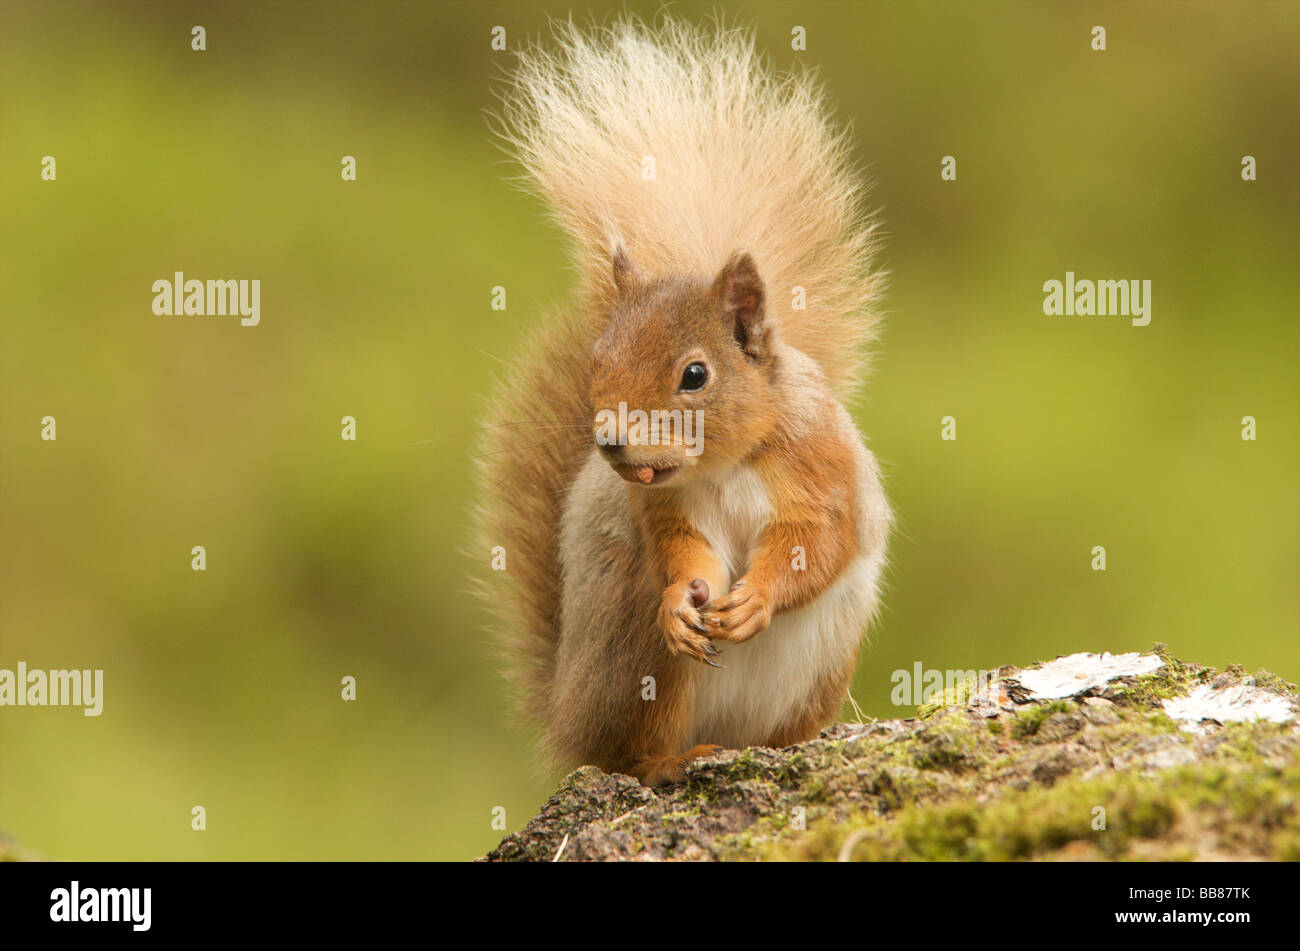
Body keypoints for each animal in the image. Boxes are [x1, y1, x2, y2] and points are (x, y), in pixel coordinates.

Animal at [474, 16, 890, 785]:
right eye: (598, 360)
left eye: (695, 375)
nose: (610, 441)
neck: (724, 464)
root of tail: (568, 720)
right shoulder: (667, 509)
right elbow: (682, 553)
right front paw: (681, 600)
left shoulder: (820, 467)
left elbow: (817, 543)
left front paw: (756, 596)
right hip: (642, 660)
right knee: (629, 755)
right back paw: (673, 758)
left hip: (818, 670)